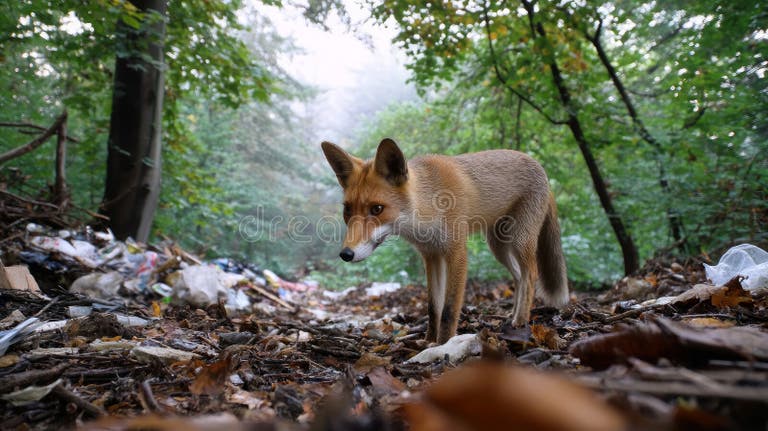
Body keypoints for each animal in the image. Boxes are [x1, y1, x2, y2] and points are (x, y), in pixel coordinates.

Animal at [321, 138, 569, 344]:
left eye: (377, 209)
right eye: (347, 210)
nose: (346, 254)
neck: (429, 207)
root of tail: (542, 170)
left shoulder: (456, 253)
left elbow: (449, 310)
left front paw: (442, 345)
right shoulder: (431, 256)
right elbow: (433, 308)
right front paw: (428, 341)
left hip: (519, 240)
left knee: (531, 275)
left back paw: (521, 320)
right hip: (498, 245)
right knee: (518, 277)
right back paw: (513, 315)